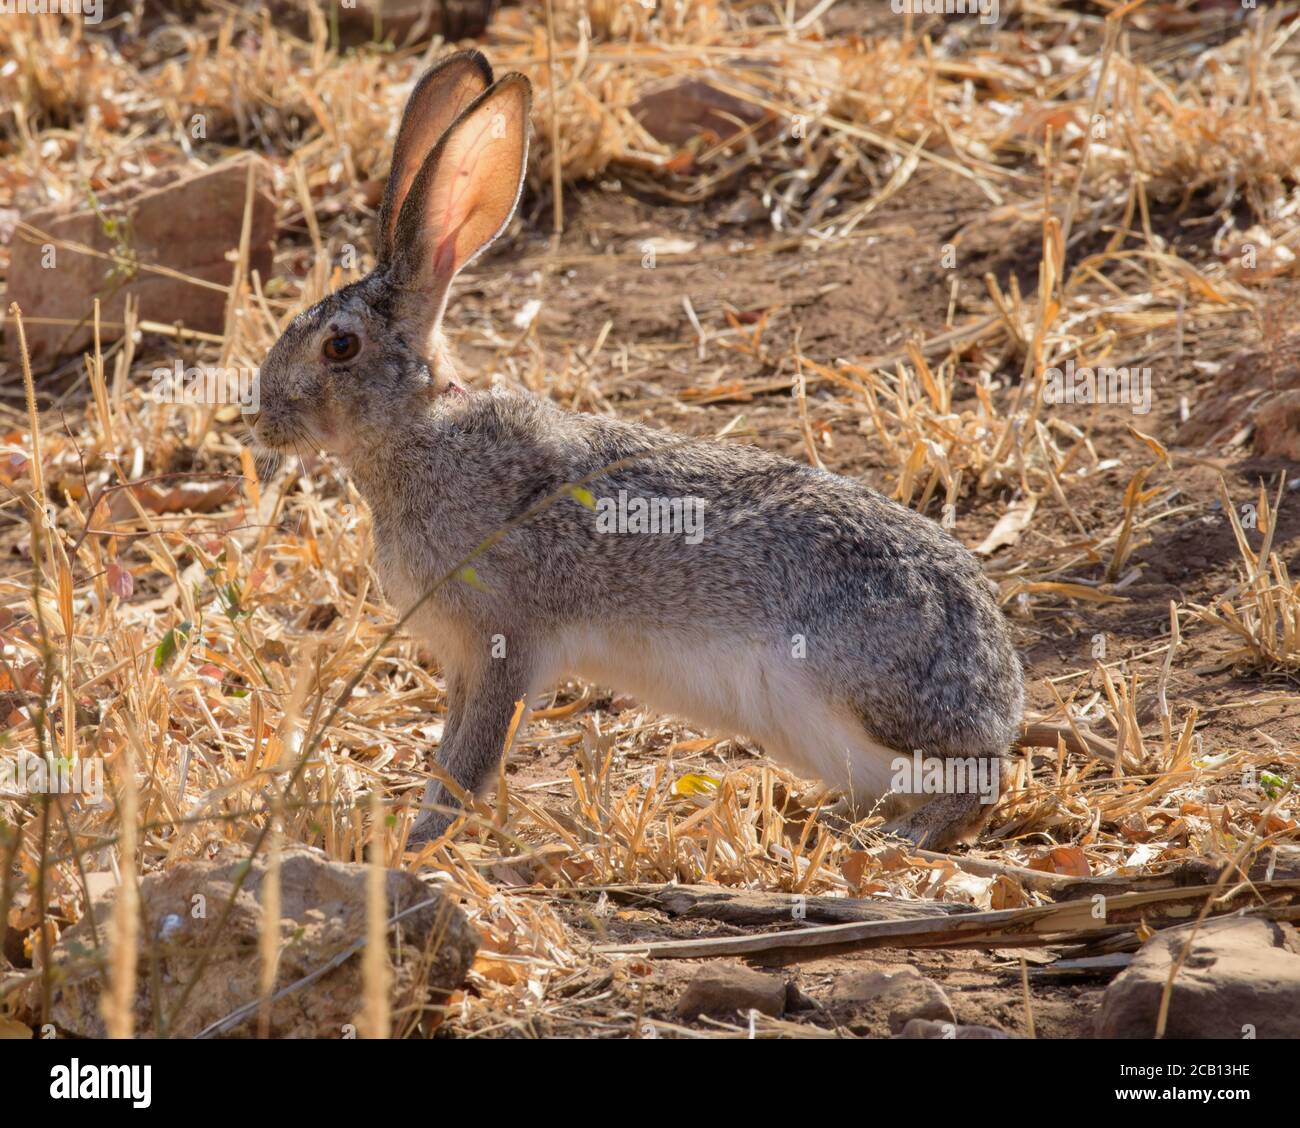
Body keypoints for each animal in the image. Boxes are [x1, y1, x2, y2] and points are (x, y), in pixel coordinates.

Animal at [252, 49, 1025, 851]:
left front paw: (418, 844)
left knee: (974, 784)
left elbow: (470, 760)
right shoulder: (463, 661)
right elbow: (449, 747)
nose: (263, 419)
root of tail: (999, 695)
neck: (420, 432)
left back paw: (897, 838)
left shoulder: (505, 645)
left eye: (340, 347)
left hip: (864, 700)